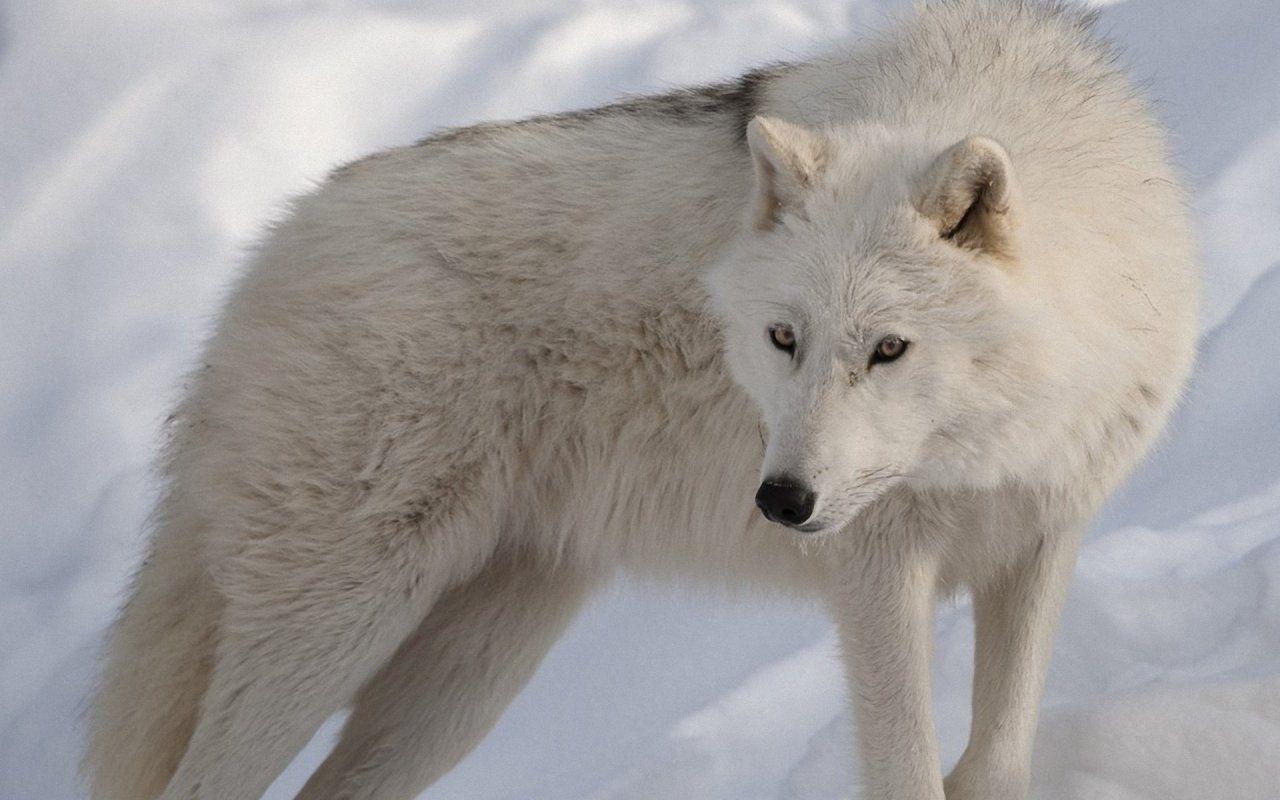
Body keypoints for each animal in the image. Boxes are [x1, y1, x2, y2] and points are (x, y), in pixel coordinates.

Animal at [84, 2, 1198, 798]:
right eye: (783, 339)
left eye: (888, 350)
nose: (781, 500)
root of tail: (269, 250)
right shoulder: (876, 577)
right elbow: (907, 772)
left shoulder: (1041, 536)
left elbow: (998, 759)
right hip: (342, 622)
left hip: (471, 671)